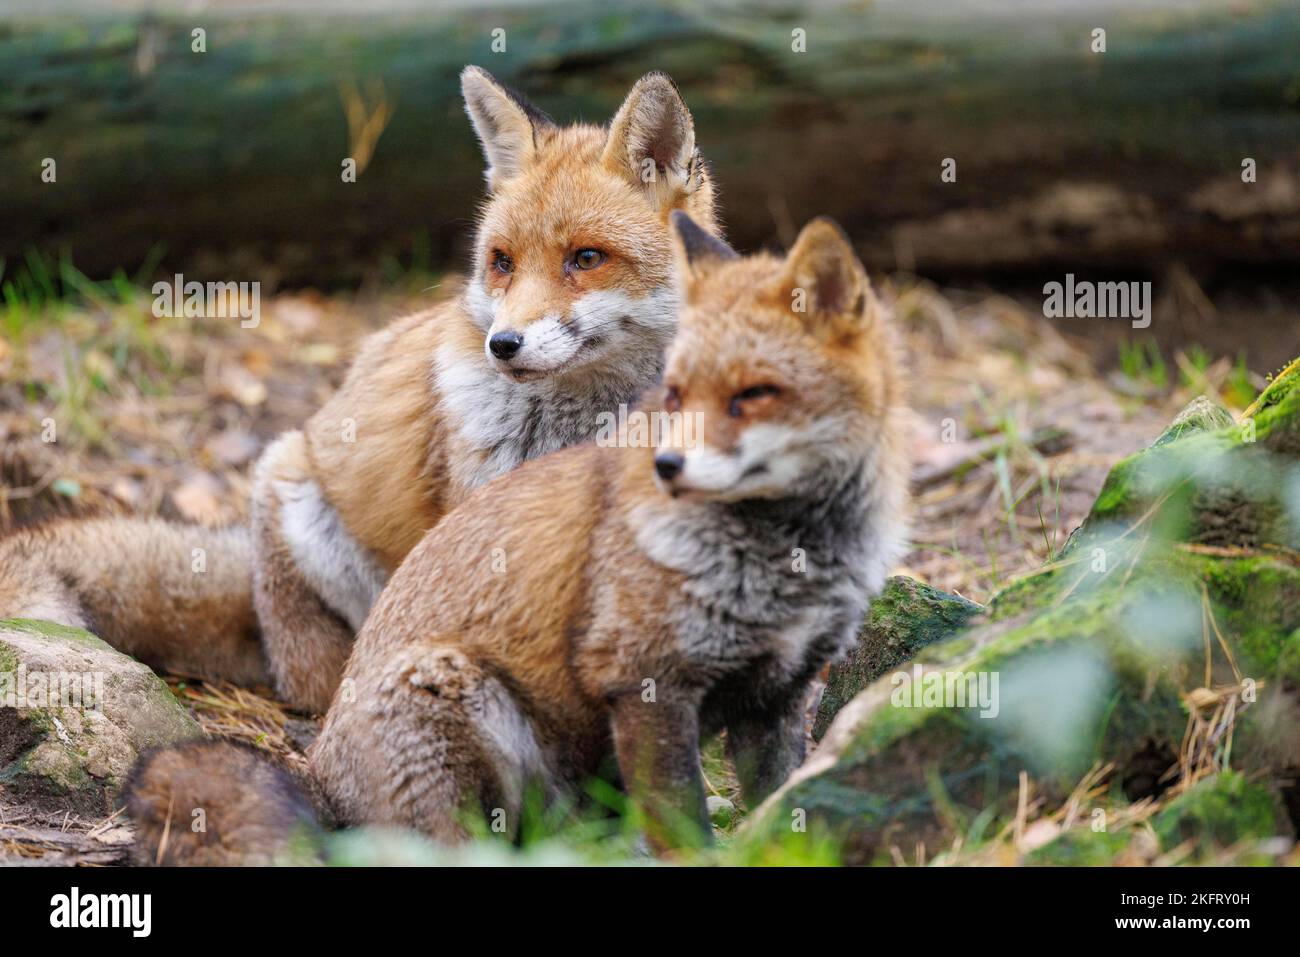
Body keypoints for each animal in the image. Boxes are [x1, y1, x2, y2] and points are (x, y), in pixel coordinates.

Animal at [126, 212, 910, 862]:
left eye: (753, 395)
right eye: (676, 393)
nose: (665, 466)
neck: (789, 561)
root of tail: (319, 770)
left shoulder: (779, 693)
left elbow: (786, 810)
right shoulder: (646, 684)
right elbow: (688, 833)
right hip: (455, 692)